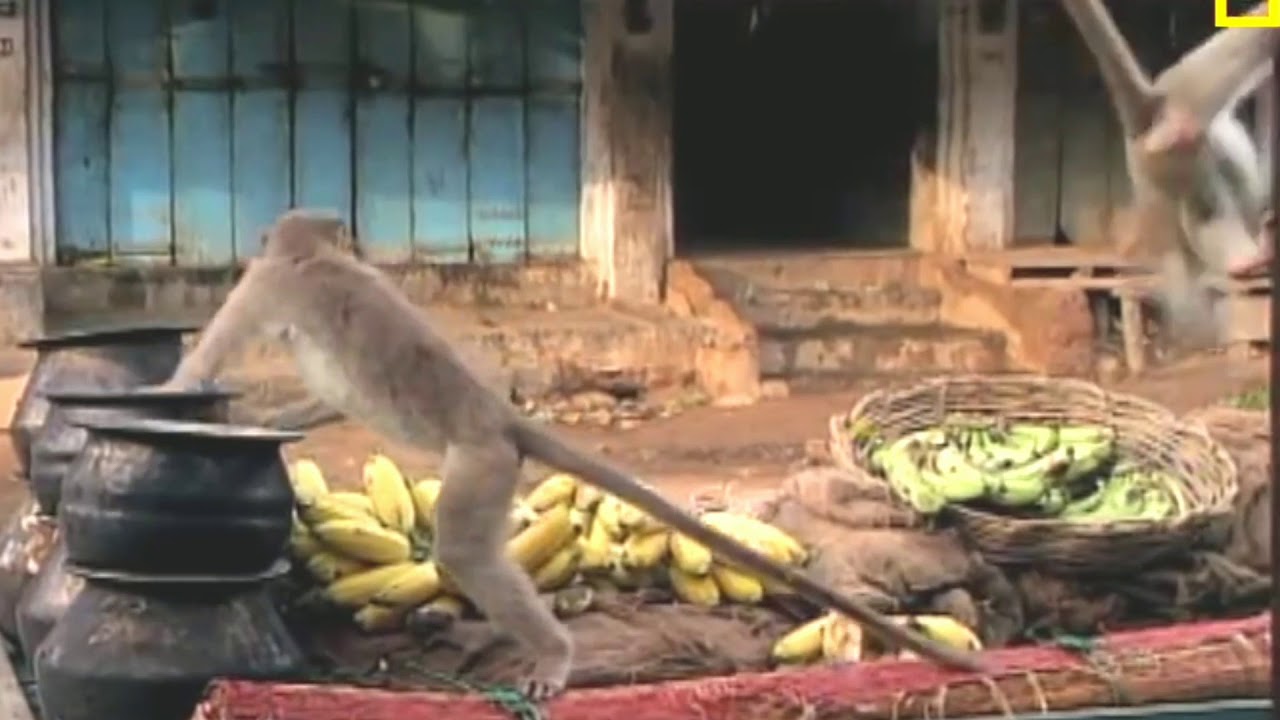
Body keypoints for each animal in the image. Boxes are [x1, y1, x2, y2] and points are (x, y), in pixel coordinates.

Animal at [158, 209, 985, 699]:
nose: (363, 247)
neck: (310, 258)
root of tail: (497, 417)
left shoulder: (267, 285)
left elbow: (200, 367)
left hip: (482, 463)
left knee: (463, 549)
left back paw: (554, 654)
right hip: (492, 463)